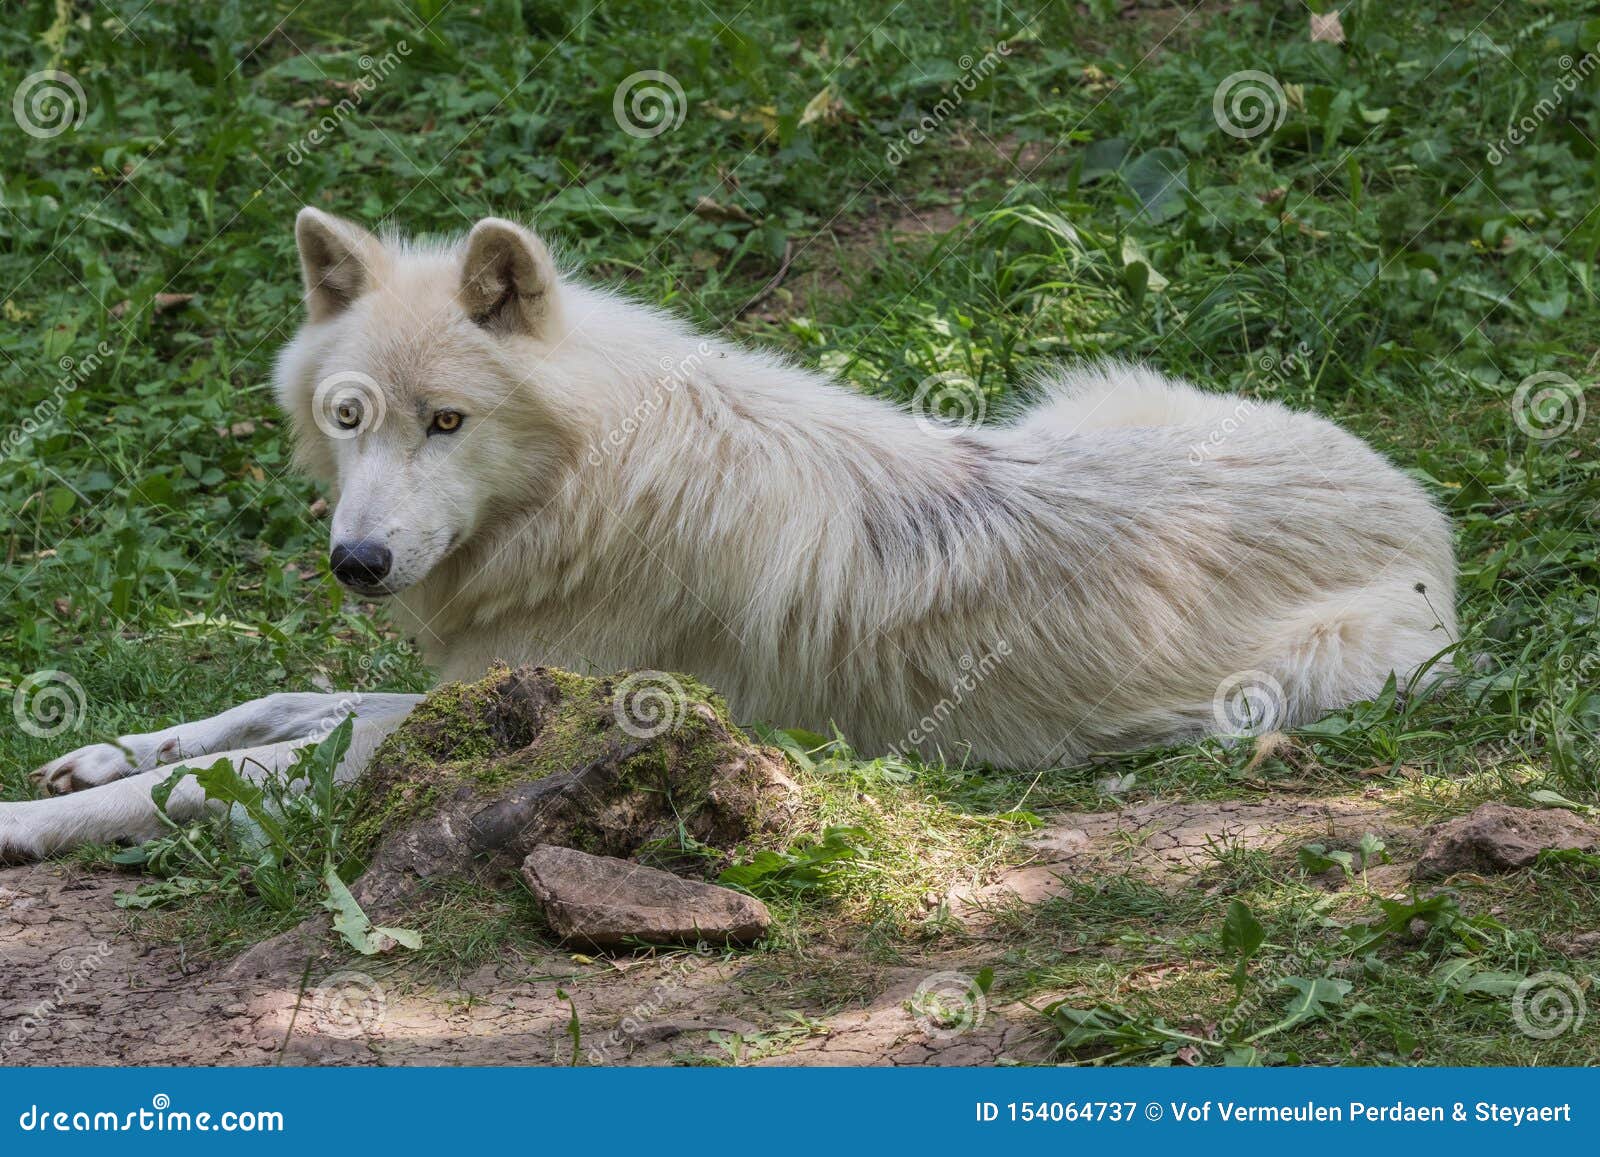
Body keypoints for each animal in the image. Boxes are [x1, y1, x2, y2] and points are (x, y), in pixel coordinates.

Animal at [0, 209, 1456, 861]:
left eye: (448, 422)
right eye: (347, 418)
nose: (355, 563)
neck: (595, 486)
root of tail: (1423, 506)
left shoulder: (499, 714)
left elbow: (253, 761)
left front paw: (32, 815)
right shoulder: (464, 682)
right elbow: (277, 702)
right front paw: (97, 750)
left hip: (1283, 688)